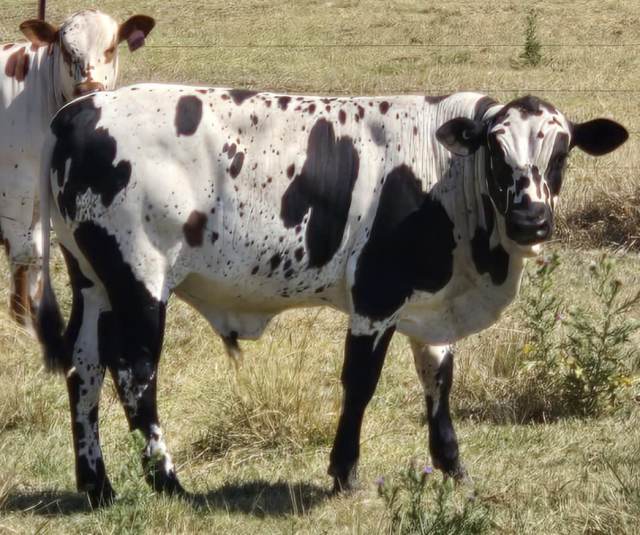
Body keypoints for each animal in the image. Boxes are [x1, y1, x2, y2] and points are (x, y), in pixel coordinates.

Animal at [0, 9, 154, 332]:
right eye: (68, 50)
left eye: (111, 47)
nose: (89, 89)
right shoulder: (14, 189)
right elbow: (22, 253)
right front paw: (21, 320)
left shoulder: (39, 197)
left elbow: (38, 253)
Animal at [36, 84, 628, 506]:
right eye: (497, 151)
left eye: (562, 152)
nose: (531, 219)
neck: (445, 177)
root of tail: (78, 111)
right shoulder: (376, 298)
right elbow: (360, 384)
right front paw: (344, 473)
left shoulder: (429, 305)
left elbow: (438, 379)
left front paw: (453, 468)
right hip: (140, 279)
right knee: (134, 373)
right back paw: (167, 481)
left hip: (92, 282)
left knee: (84, 369)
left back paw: (97, 486)